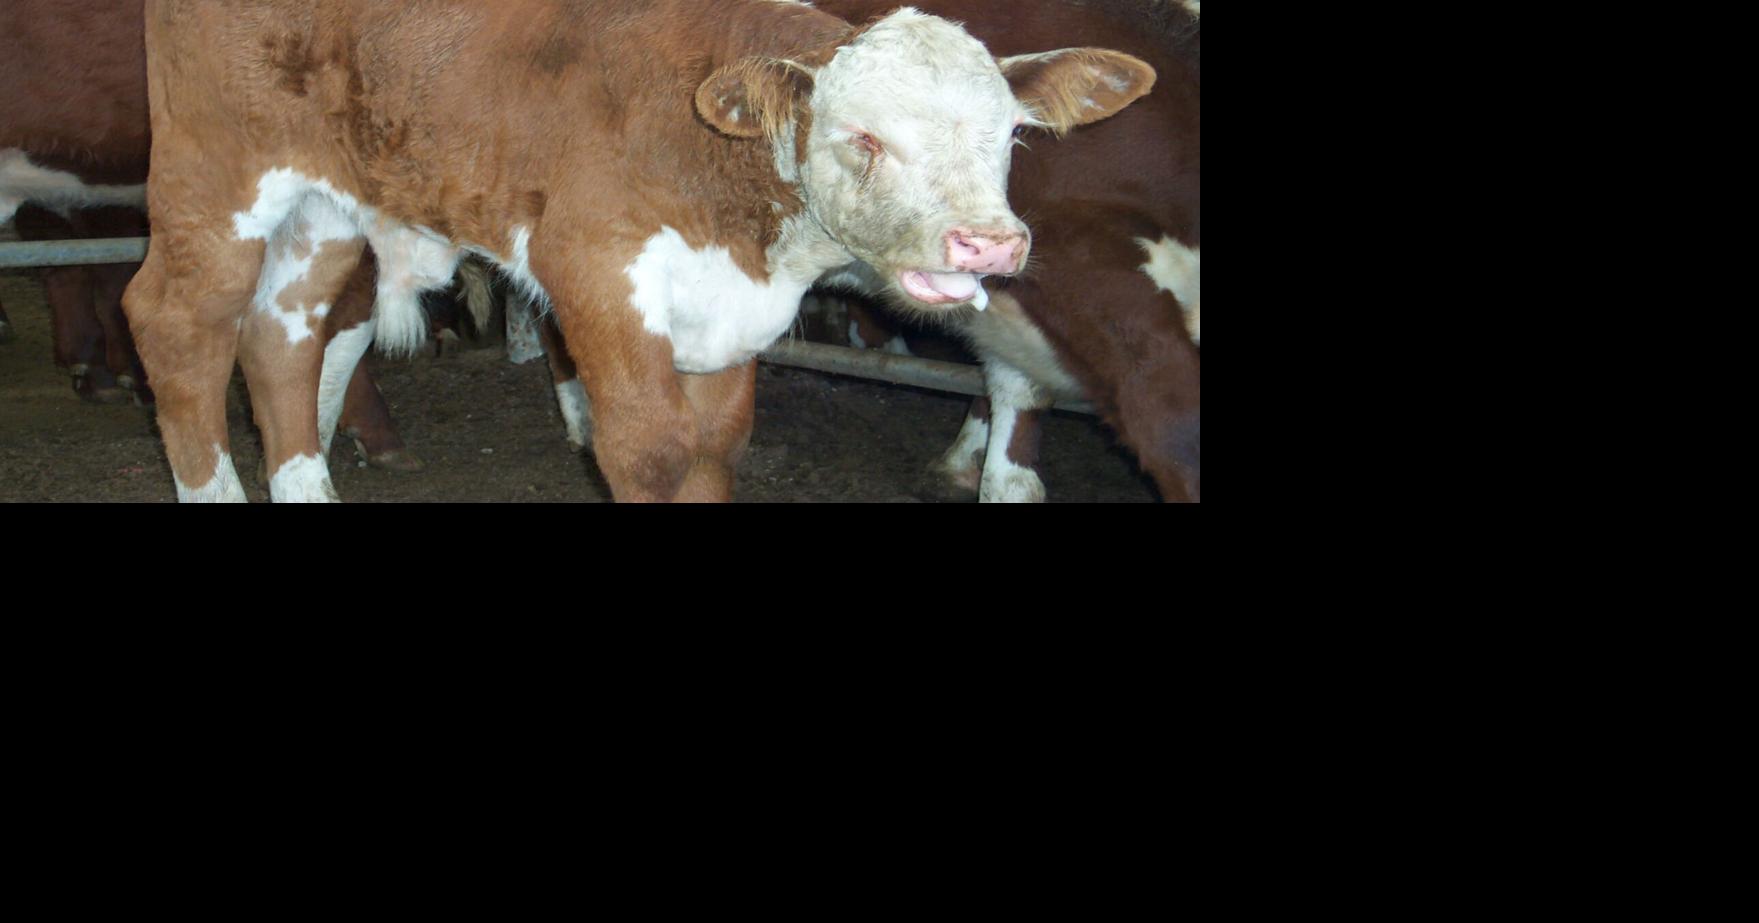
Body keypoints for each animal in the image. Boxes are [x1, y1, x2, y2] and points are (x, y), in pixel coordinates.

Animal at [126, 0, 1157, 502]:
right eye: (860, 137)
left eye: (1010, 134)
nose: (987, 243)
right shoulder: (597, 273)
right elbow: (649, 449)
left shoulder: (726, 320)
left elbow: (715, 448)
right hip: (212, 178)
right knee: (177, 325)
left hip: (325, 207)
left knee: (280, 338)